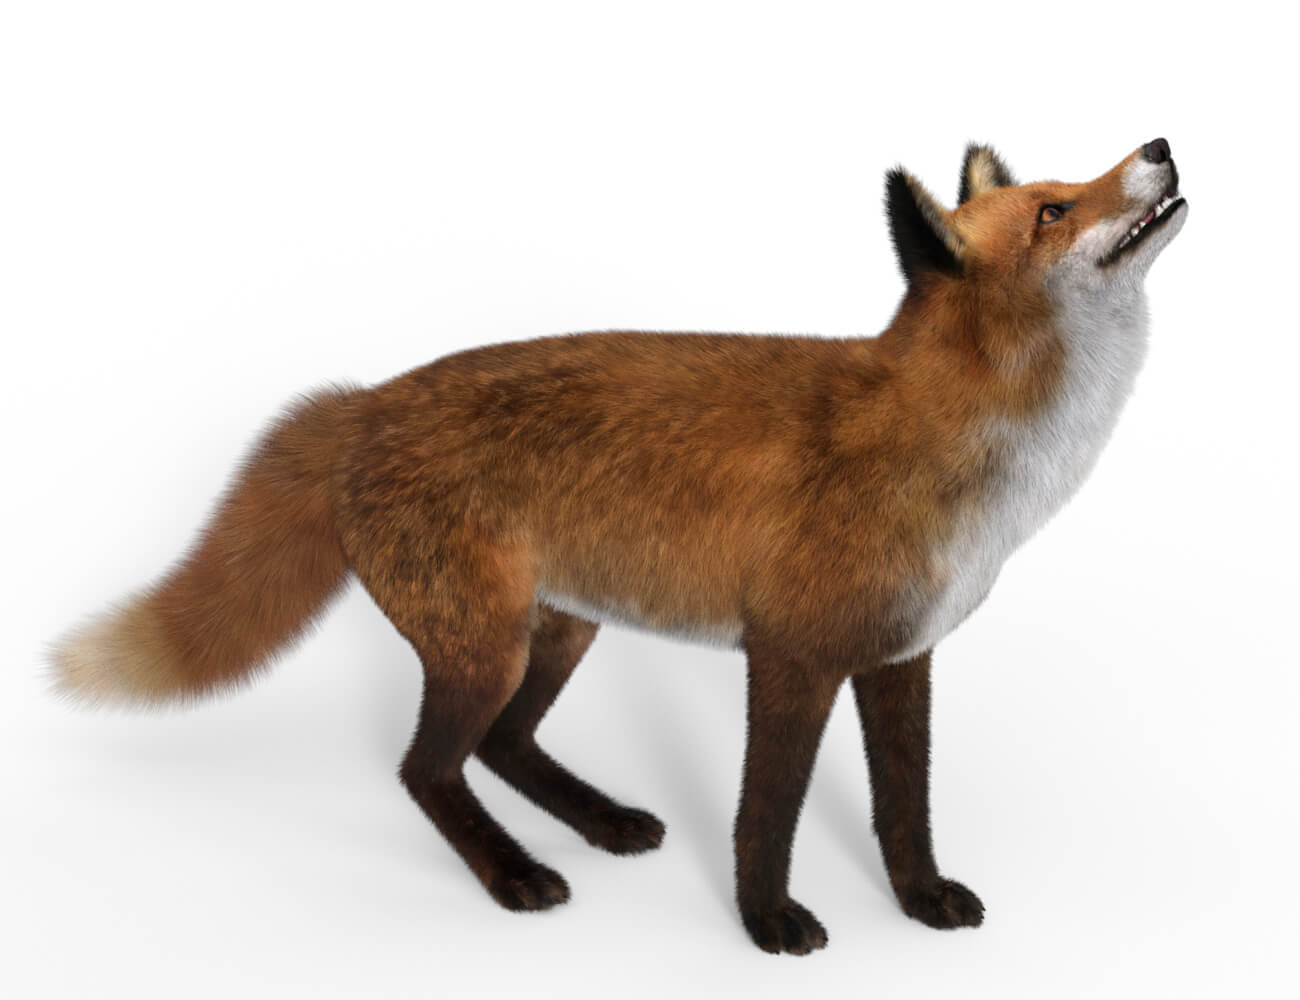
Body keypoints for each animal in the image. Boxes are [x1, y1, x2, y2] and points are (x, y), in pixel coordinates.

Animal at [50, 139, 1186, 955]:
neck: (964, 447)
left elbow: (905, 807)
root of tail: (364, 401)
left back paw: (599, 821)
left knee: (501, 745)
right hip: (485, 646)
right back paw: (513, 874)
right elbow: (765, 813)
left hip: (556, 633)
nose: (1161, 146)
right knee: (426, 769)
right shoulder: (792, 655)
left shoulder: (901, 655)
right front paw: (766, 923)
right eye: (1052, 209)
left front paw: (920, 902)